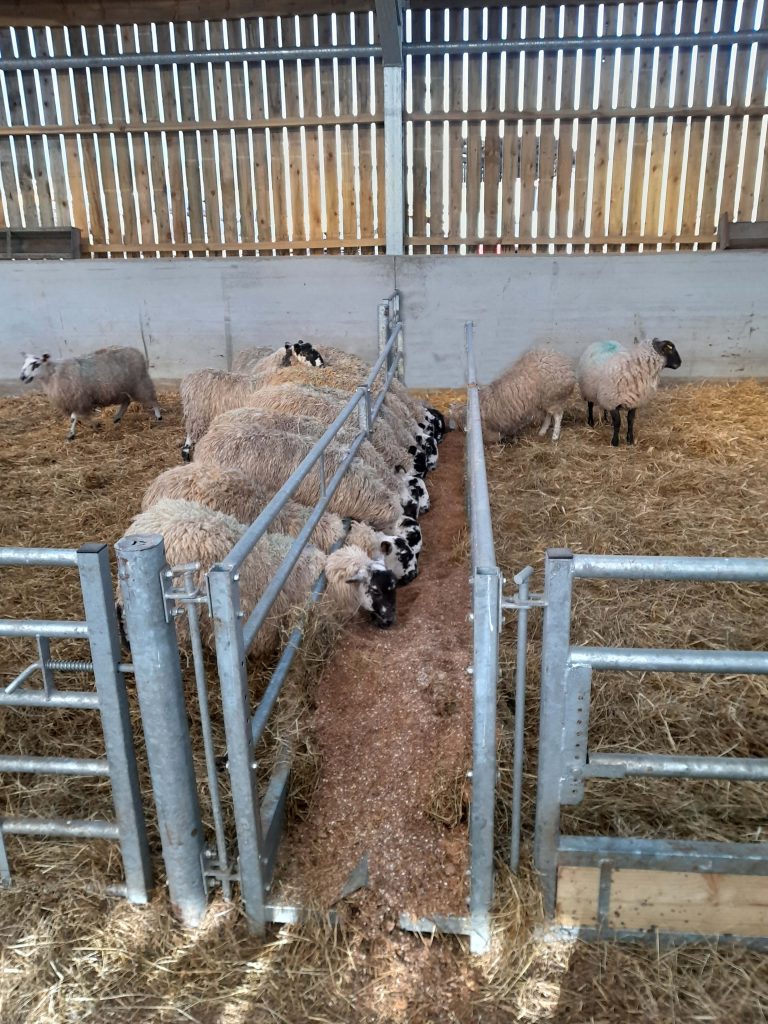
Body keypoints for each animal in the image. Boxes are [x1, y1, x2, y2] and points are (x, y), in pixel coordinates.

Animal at [19, 346, 161, 441]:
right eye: (24, 363)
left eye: (35, 364)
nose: (22, 377)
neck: (53, 373)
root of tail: (137, 352)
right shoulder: (77, 400)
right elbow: (82, 417)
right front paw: (95, 425)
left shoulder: (78, 398)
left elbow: (74, 418)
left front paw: (71, 435)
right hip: (122, 387)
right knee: (126, 402)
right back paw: (117, 418)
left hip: (140, 383)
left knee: (152, 399)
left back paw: (158, 416)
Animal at [448, 348, 576, 443]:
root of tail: (563, 360)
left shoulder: (492, 432)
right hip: (545, 400)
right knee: (549, 415)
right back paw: (542, 431)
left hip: (555, 397)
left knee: (558, 415)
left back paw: (555, 435)